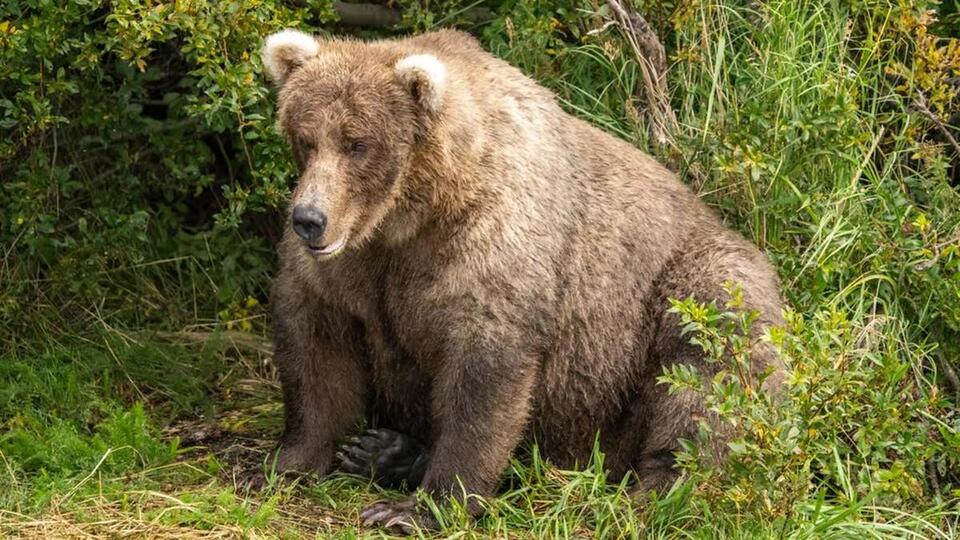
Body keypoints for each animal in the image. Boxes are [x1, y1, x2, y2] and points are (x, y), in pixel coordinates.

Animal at [260, 28, 785, 531]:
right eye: (306, 138)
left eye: (358, 143)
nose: (309, 219)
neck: (412, 217)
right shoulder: (352, 269)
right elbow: (315, 347)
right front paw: (287, 463)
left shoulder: (492, 248)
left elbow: (484, 377)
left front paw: (418, 508)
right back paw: (385, 451)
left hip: (683, 296)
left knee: (706, 374)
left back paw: (659, 491)